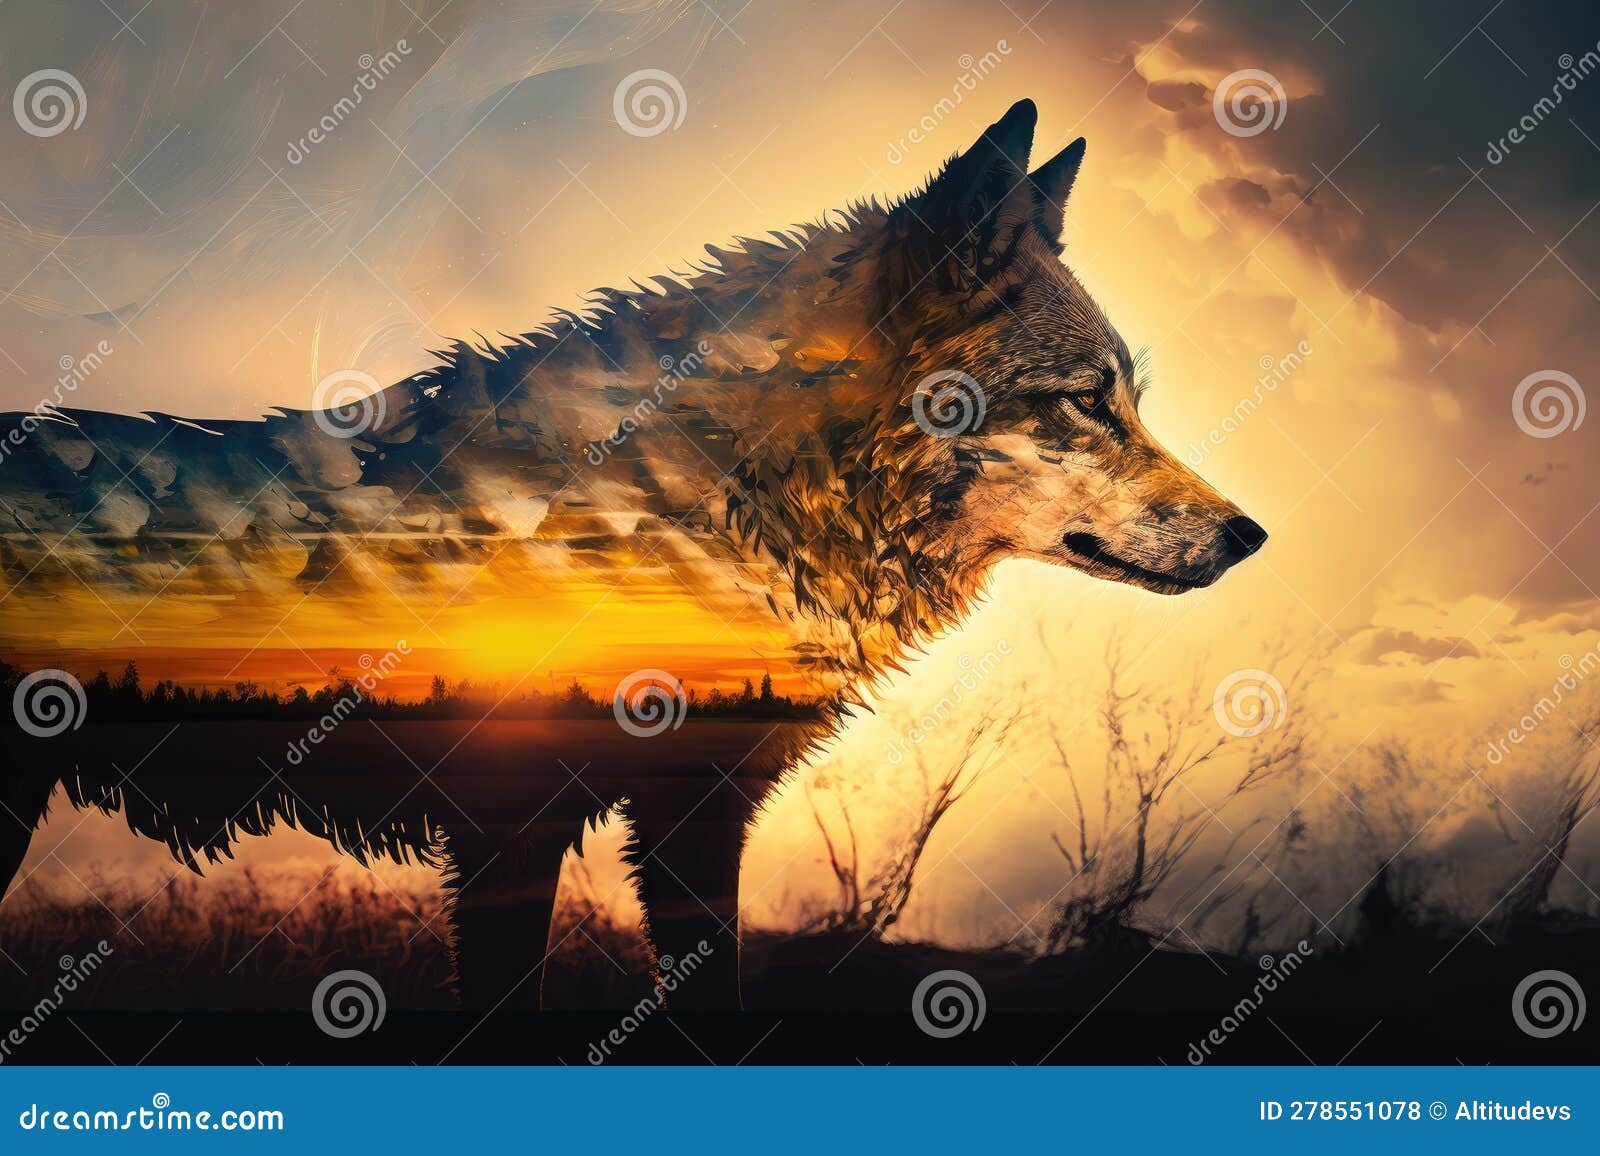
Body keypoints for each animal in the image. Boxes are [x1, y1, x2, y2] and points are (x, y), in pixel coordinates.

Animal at [0, 100, 1265, 1012]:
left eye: (1130, 398)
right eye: (1087, 400)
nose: (1249, 535)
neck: (701, 502)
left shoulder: (694, 814)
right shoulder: (507, 821)